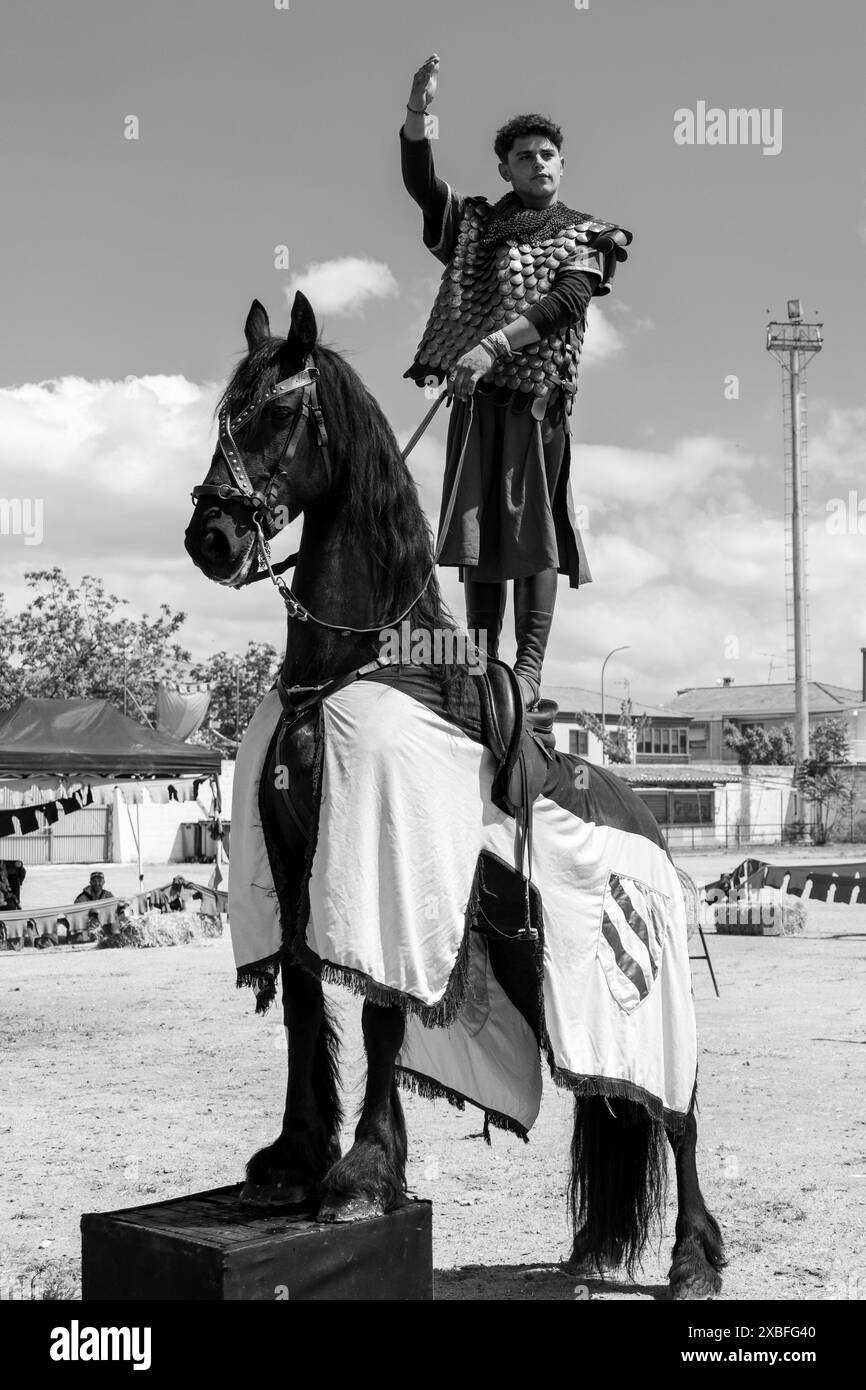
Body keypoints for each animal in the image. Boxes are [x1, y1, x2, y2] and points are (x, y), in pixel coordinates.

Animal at [184, 292, 725, 1298]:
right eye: (223, 416)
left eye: (278, 412)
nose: (212, 538)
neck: (350, 667)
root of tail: (645, 816)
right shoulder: (294, 865)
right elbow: (309, 1007)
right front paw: (293, 1159)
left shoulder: (385, 871)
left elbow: (379, 1013)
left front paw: (361, 1177)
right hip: (543, 976)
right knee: (614, 1101)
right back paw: (594, 1247)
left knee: (678, 1111)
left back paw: (695, 1259)